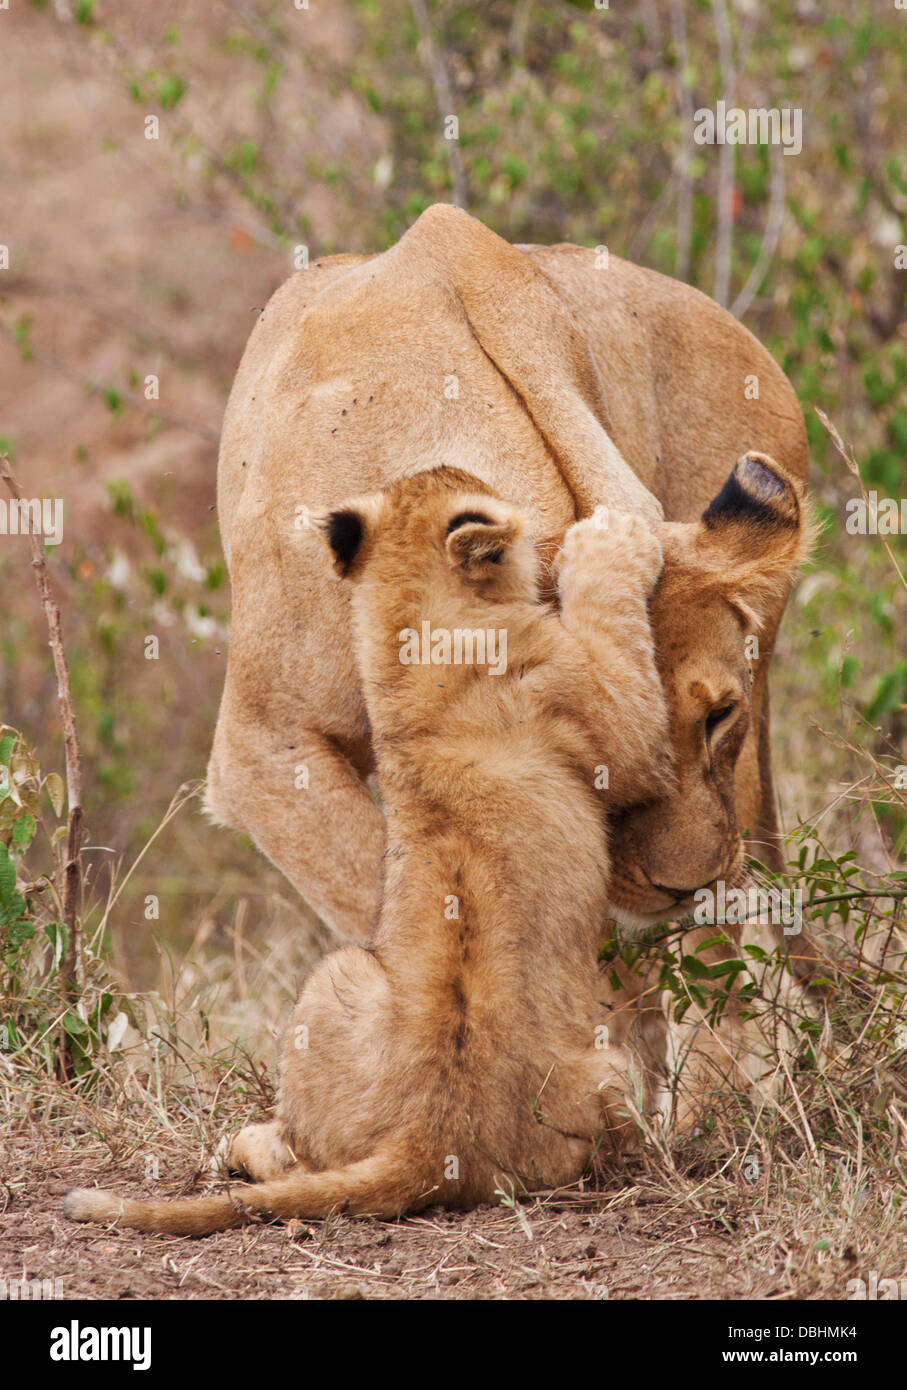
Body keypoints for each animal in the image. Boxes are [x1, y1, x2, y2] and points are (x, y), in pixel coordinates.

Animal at [65, 468, 672, 1233]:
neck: (407, 627)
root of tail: (431, 1136)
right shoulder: (614, 723)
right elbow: (622, 662)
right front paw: (608, 540)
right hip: (599, 1071)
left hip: (336, 990)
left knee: (309, 1160)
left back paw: (242, 1145)